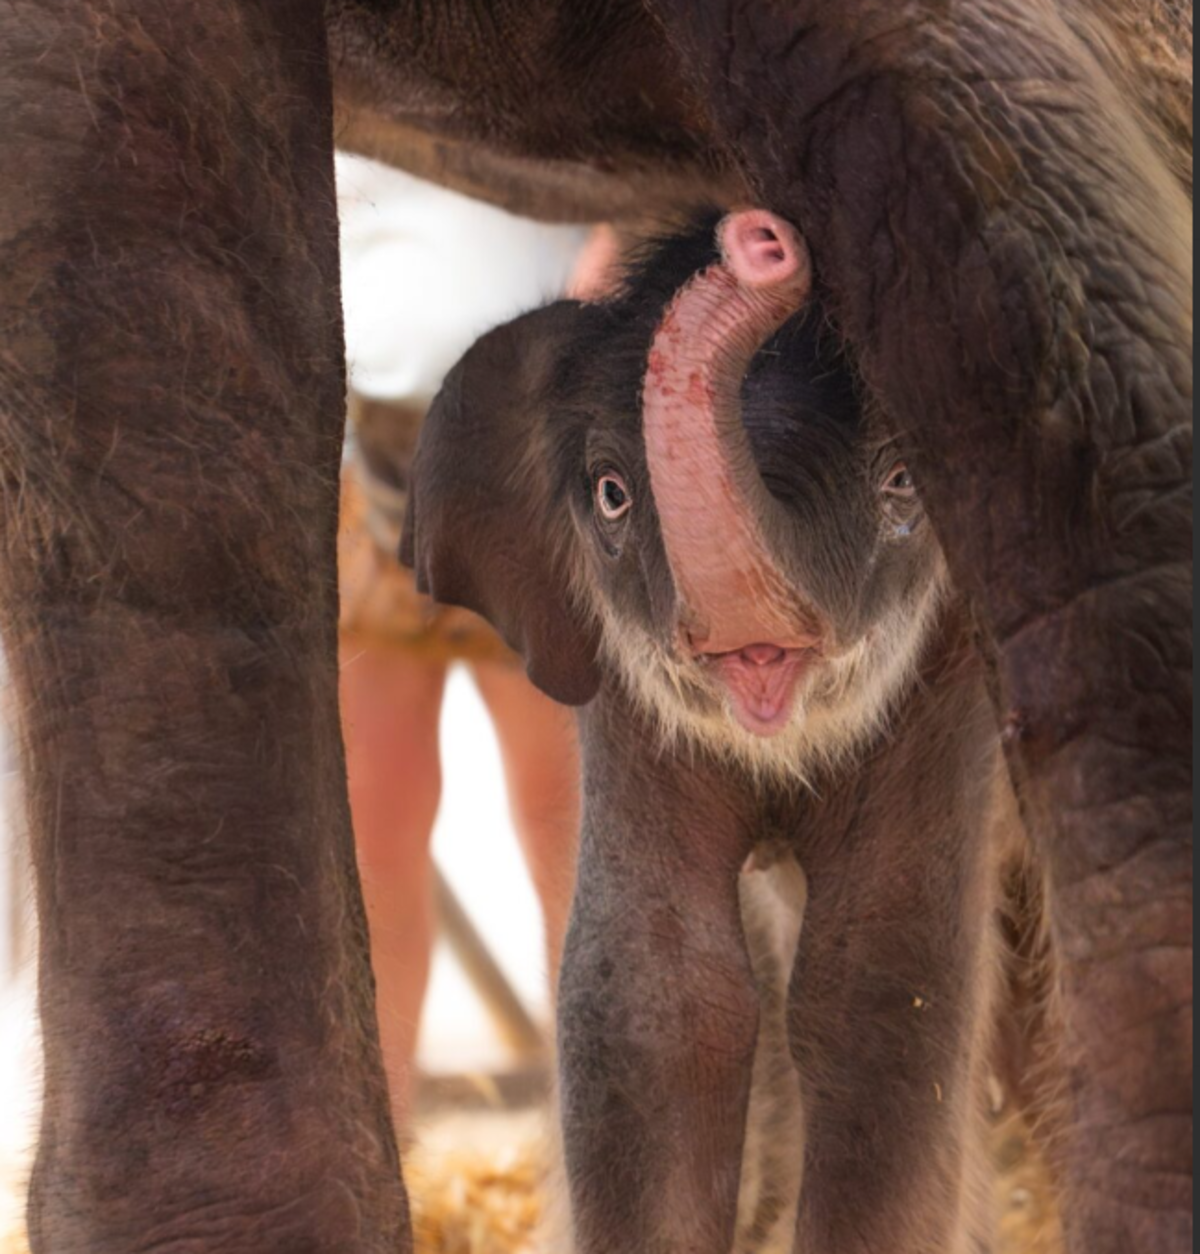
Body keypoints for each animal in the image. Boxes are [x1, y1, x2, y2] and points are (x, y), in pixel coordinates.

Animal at [0, 2, 1190, 1253]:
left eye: (906, 484)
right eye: (613, 496)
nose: (764, 236)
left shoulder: (938, 682)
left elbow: (879, 974)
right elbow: (657, 988)